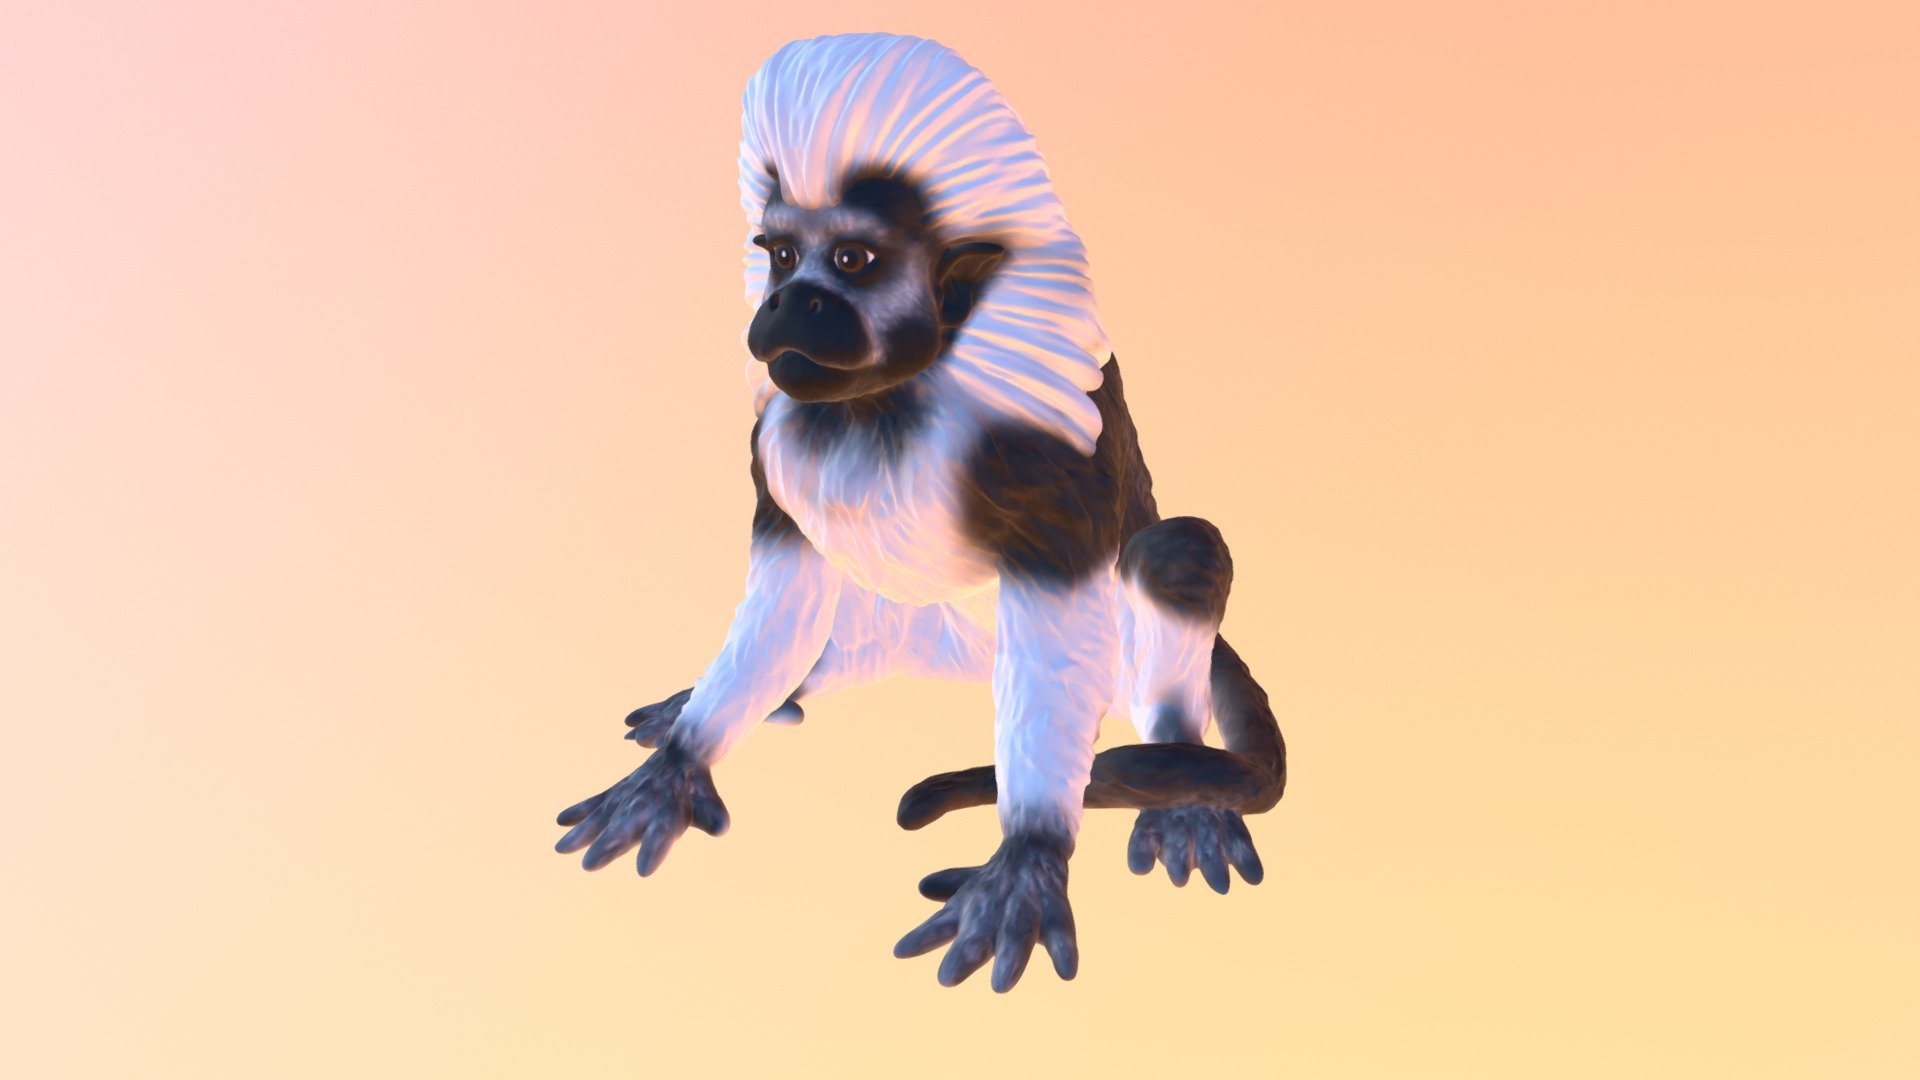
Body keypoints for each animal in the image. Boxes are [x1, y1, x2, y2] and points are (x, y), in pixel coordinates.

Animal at [553, 32, 1286, 992]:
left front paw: (1027, 858)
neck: (883, 401)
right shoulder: (776, 441)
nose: (783, 302)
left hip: (1111, 659)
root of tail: (963, 659)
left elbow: (1068, 589)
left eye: (851, 262)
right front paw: (682, 757)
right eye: (780, 256)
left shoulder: (1036, 454)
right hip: (901, 626)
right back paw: (763, 697)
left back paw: (1183, 775)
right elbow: (788, 578)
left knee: (1173, 553)